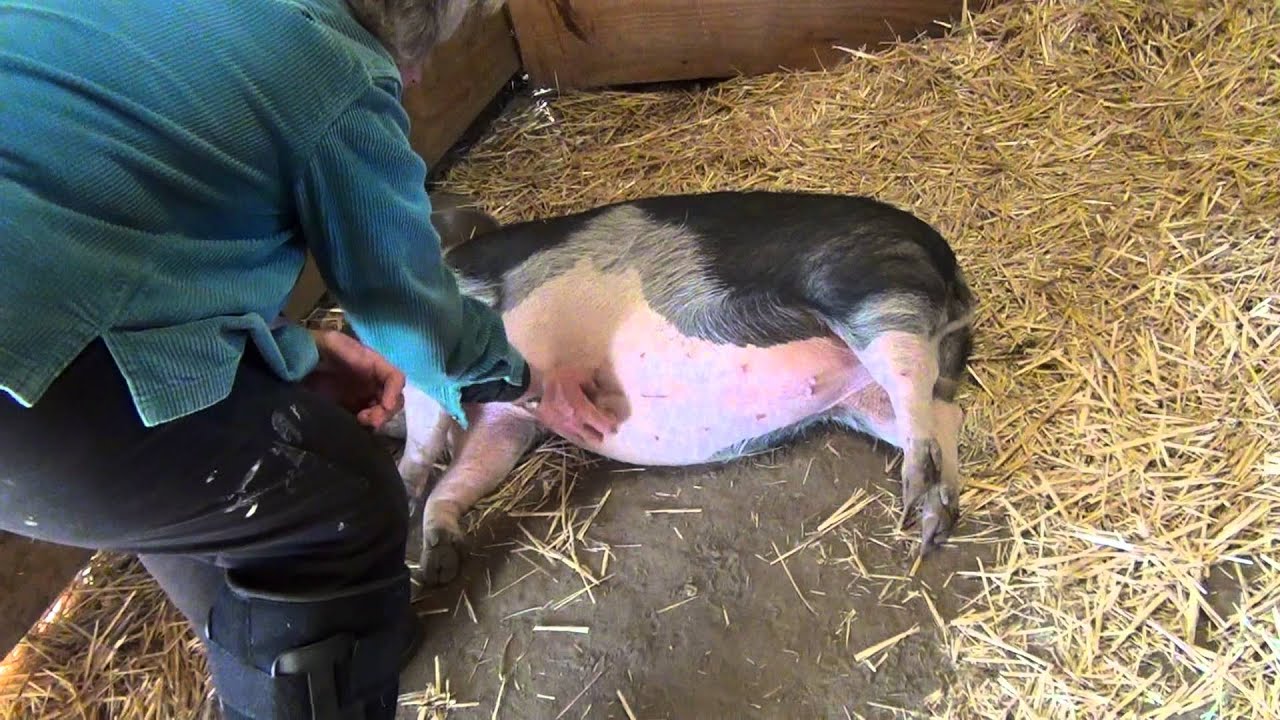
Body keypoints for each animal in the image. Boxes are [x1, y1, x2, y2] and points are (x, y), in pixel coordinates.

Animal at [392, 190, 975, 586]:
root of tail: (946, 260)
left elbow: (425, 415)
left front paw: (405, 484)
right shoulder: (508, 422)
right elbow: (464, 473)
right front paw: (436, 562)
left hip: (870, 290)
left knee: (910, 376)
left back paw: (915, 493)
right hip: (862, 389)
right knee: (945, 413)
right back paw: (934, 519)